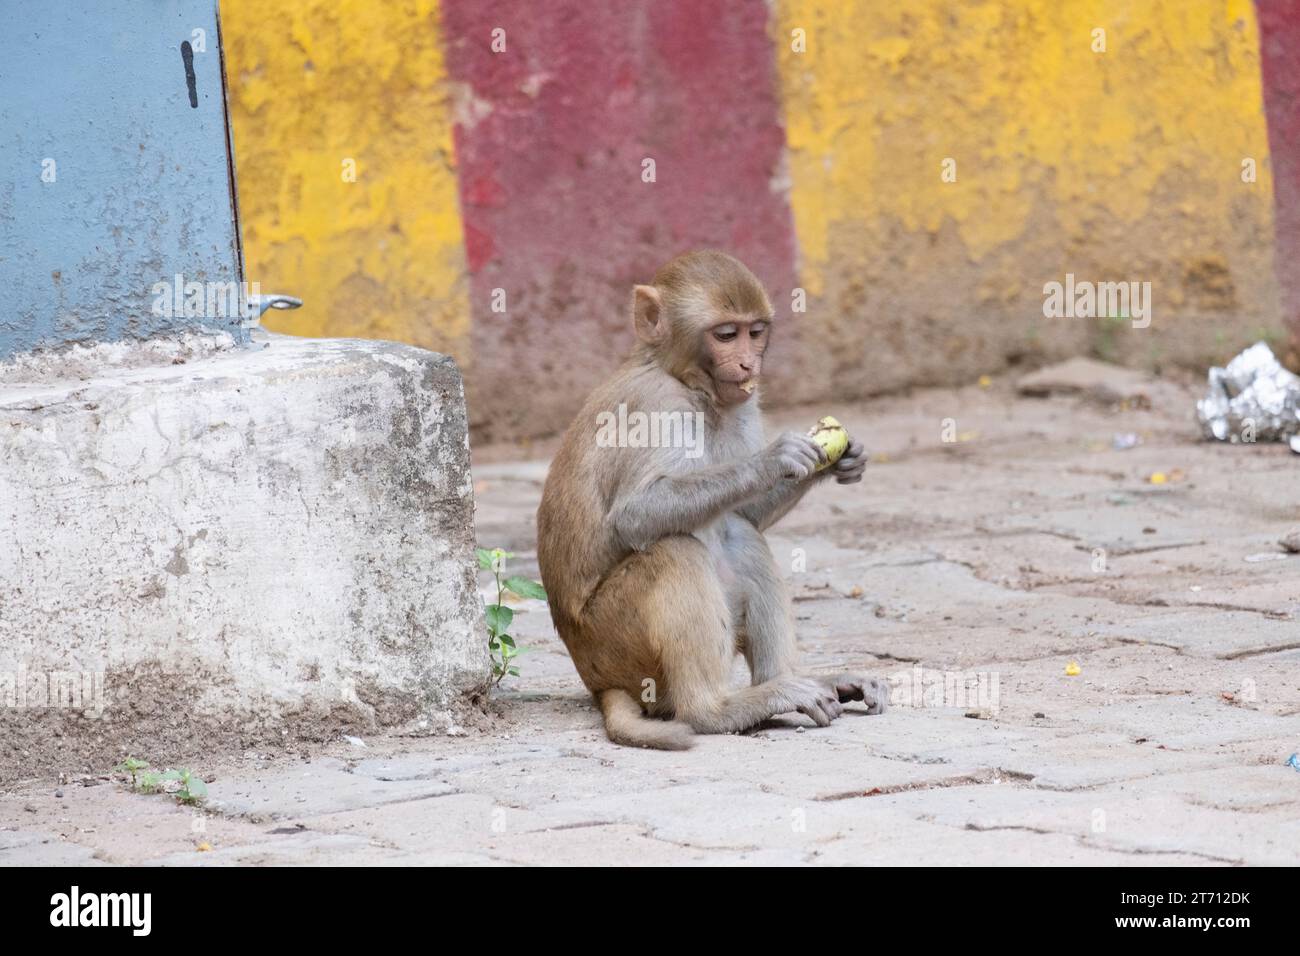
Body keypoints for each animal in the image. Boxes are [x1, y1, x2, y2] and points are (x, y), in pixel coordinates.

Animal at [536, 250, 888, 750]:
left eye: (755, 332)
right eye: (725, 334)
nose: (747, 366)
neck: (687, 382)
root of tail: (598, 682)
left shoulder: (743, 401)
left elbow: (744, 513)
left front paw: (842, 458)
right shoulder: (659, 405)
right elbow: (634, 515)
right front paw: (772, 459)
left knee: (739, 534)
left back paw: (793, 681)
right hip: (614, 643)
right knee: (675, 550)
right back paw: (719, 710)